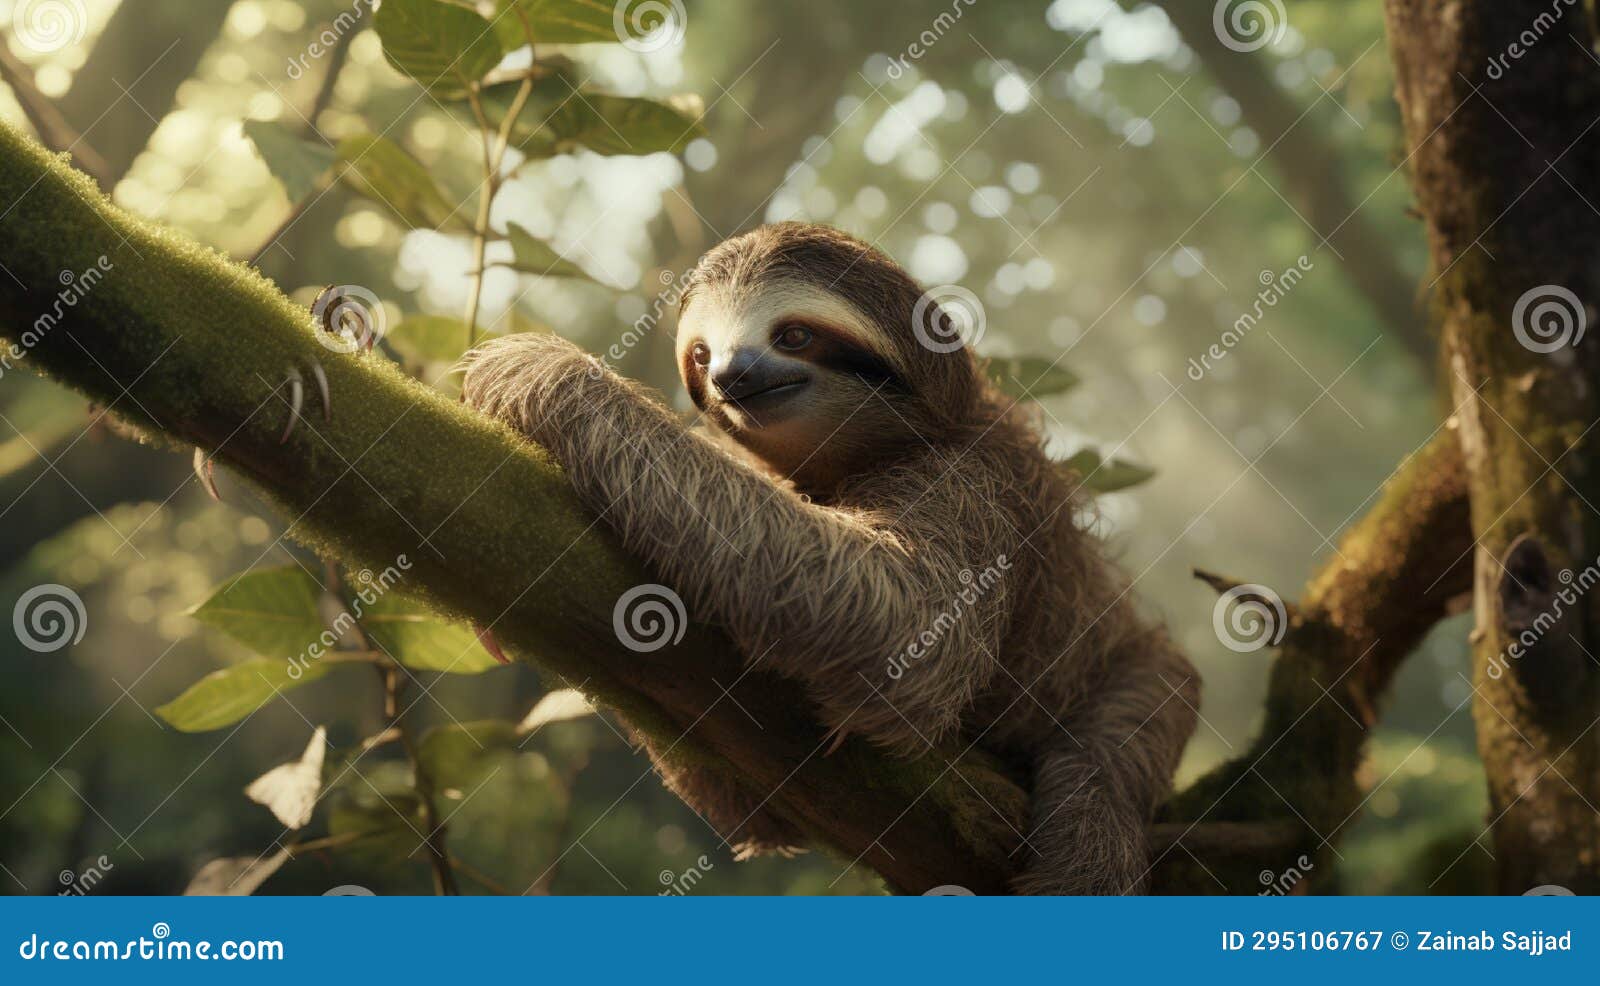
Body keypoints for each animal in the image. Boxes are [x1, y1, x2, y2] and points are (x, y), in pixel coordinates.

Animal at [461, 222, 1199, 894]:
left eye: (792, 335)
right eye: (700, 353)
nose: (730, 372)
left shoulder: (976, 483)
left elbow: (909, 624)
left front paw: (537, 368)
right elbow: (754, 810)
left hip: (1146, 669)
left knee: (1102, 775)